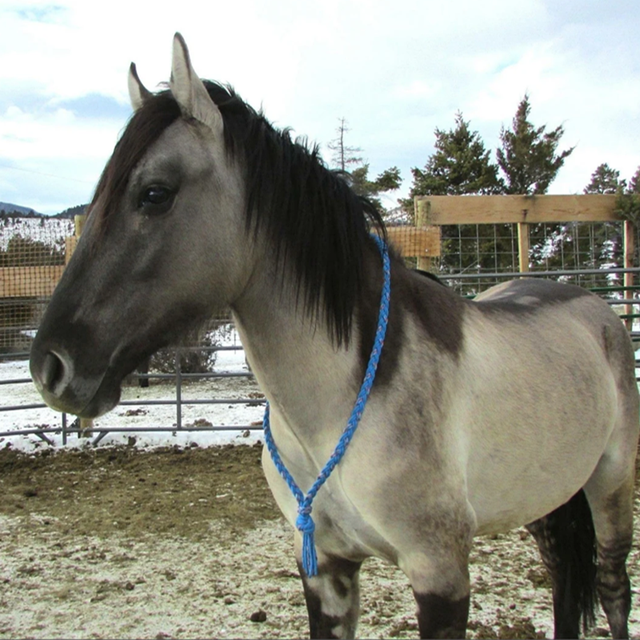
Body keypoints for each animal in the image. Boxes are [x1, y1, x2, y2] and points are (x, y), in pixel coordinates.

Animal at [29, 34, 638, 639]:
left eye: (154, 194)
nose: (49, 366)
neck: (342, 399)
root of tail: (595, 310)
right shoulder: (326, 568)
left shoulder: (440, 574)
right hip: (546, 497)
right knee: (562, 579)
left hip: (610, 486)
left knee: (612, 589)